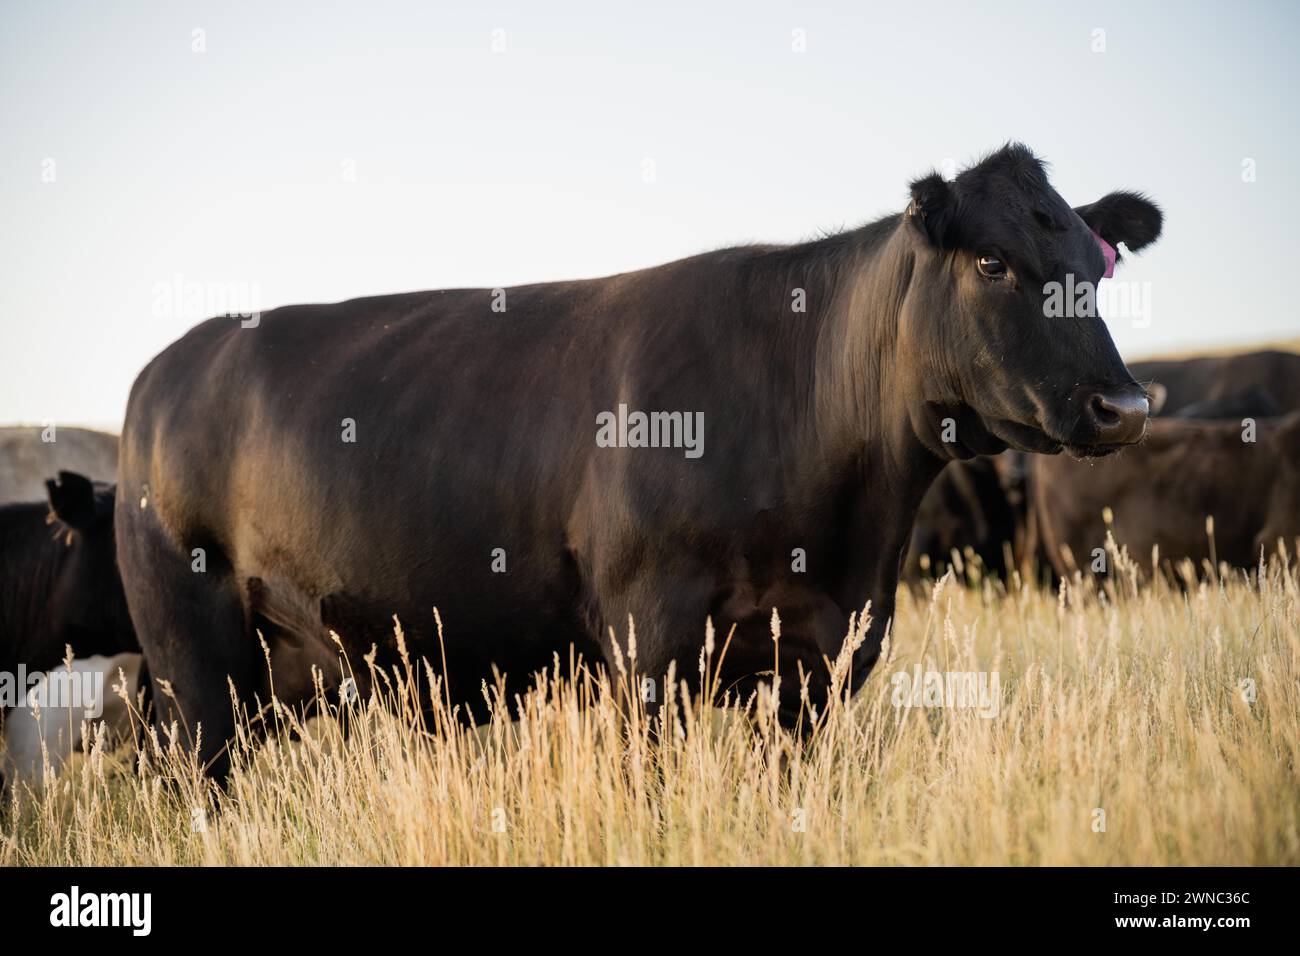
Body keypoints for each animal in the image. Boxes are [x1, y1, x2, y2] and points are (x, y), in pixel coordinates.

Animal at [116, 143, 1161, 778]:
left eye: (1098, 267)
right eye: (992, 262)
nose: (1124, 406)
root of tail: (167, 367)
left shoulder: (826, 658)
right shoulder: (647, 639)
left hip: (283, 672)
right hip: (190, 656)